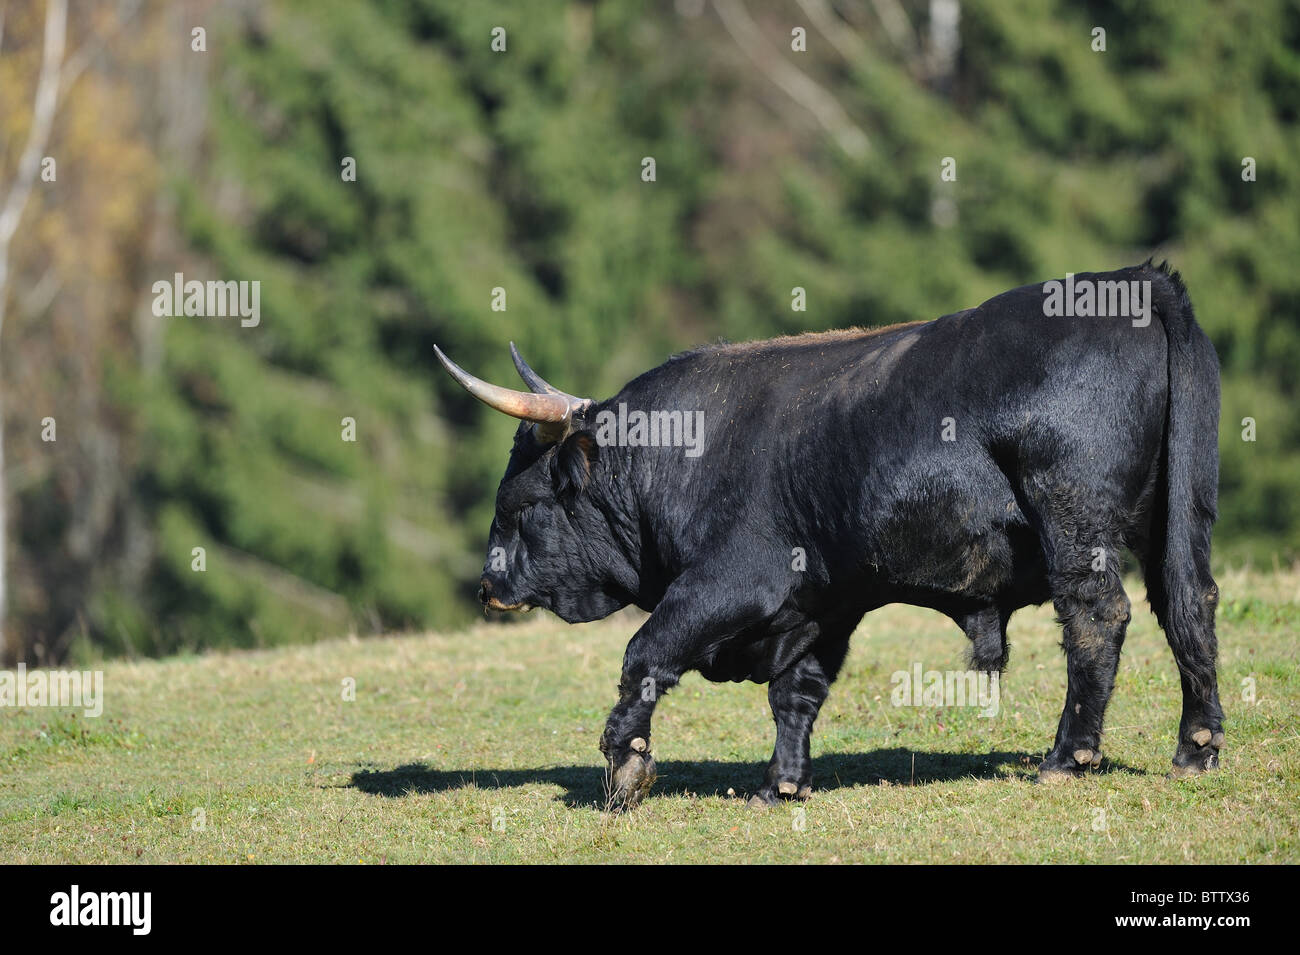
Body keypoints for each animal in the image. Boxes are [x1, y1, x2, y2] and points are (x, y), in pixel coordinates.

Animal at [435, 261, 1224, 809]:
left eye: (523, 501)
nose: (487, 585)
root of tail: (1136, 281)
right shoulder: (822, 605)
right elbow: (797, 693)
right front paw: (781, 785)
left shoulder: (728, 583)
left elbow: (646, 653)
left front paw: (626, 767)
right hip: (1176, 523)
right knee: (1189, 604)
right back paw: (1198, 745)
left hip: (1074, 520)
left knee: (1097, 618)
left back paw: (1067, 758)